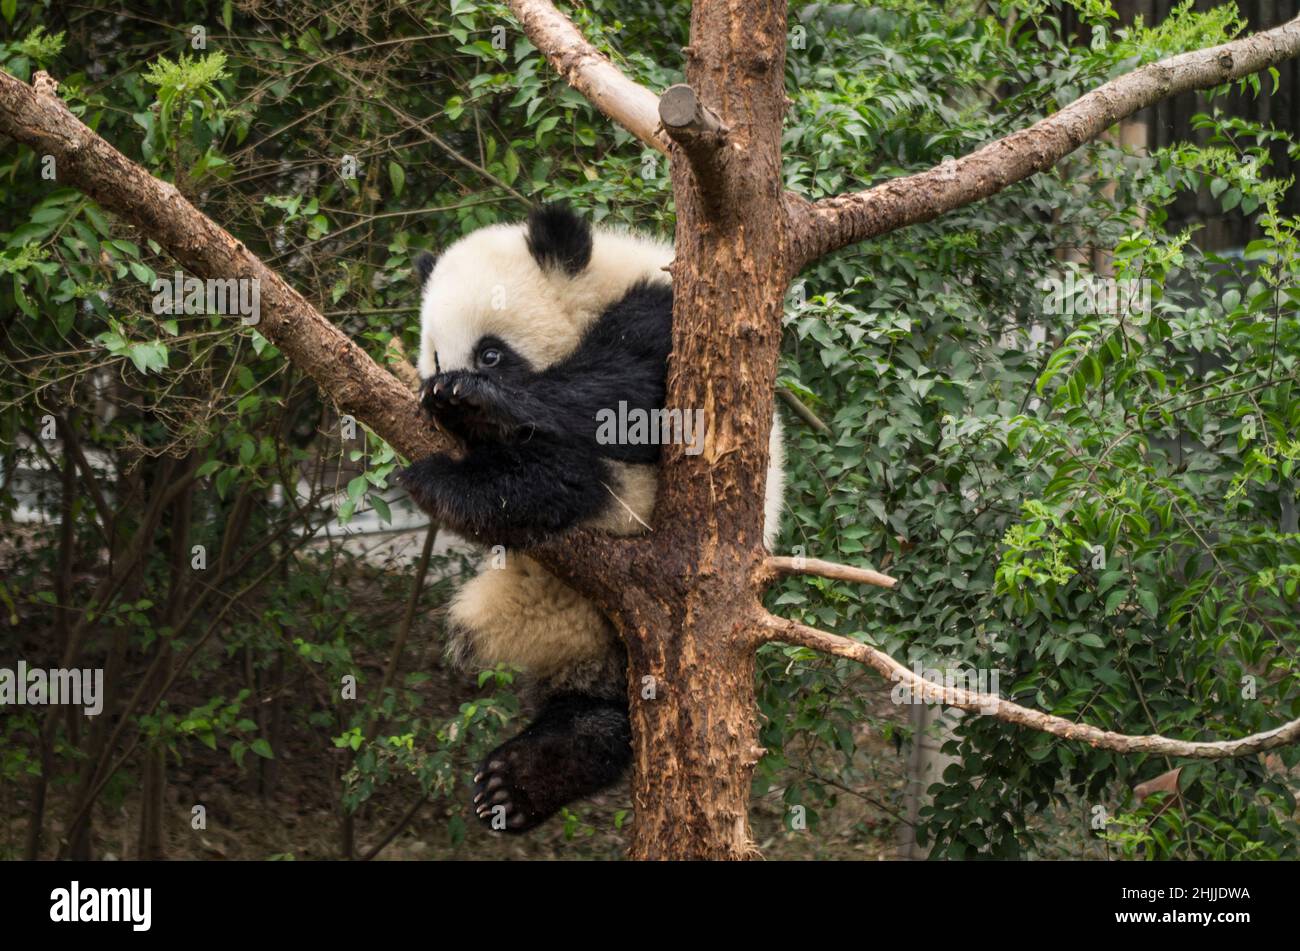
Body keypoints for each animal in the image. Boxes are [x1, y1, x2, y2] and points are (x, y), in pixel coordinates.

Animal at [399, 204, 785, 833]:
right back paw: (518, 782)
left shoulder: (667, 312)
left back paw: (466, 484)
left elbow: (630, 392)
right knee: (599, 711)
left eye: (490, 353)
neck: (596, 290)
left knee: (573, 478)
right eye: (433, 354)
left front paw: (472, 402)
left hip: (633, 499)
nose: (442, 381)